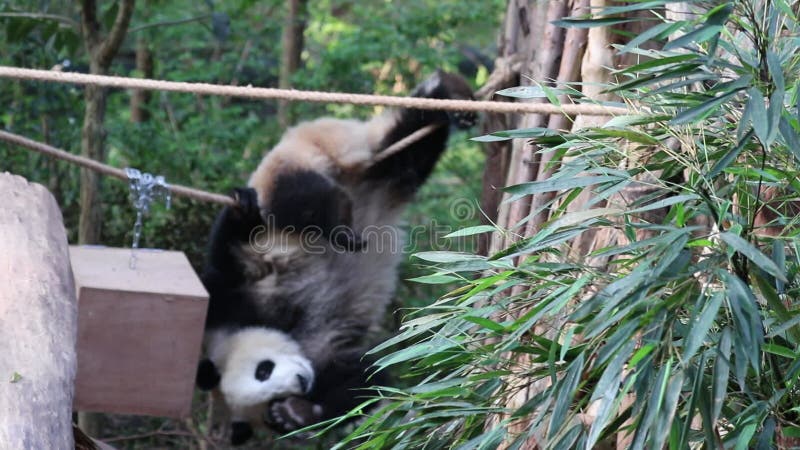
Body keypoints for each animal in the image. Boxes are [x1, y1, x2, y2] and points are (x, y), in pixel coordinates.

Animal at [199, 70, 476, 442]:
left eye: (263, 370)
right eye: (268, 395)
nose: (300, 381)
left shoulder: (240, 294)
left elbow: (221, 264)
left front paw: (240, 208)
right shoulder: (321, 352)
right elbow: (365, 380)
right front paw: (294, 413)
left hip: (306, 155)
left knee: (300, 195)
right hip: (380, 175)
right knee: (410, 152)